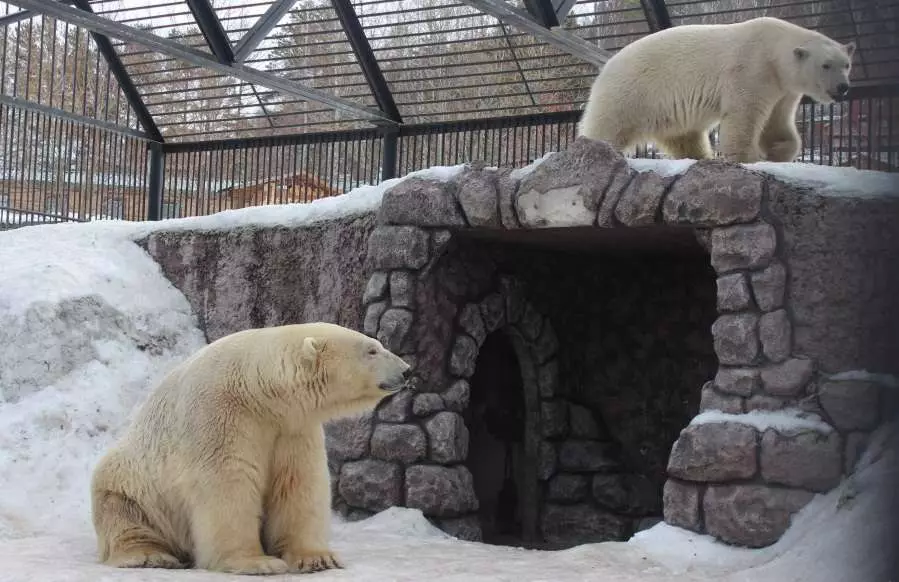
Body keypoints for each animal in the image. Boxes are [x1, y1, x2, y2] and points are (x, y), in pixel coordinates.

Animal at [88, 324, 412, 576]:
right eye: (371, 350)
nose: (408, 371)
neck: (257, 389)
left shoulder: (291, 428)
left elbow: (297, 484)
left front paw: (317, 557)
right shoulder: (221, 415)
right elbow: (228, 485)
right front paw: (257, 562)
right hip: (132, 486)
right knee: (126, 517)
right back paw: (150, 556)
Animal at [580, 17, 856, 163]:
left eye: (846, 64)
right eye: (826, 65)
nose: (843, 87)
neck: (773, 50)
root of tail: (606, 68)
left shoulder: (783, 89)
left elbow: (777, 122)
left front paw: (777, 152)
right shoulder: (752, 69)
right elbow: (744, 114)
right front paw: (749, 157)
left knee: (685, 136)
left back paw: (702, 157)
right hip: (632, 92)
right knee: (608, 127)